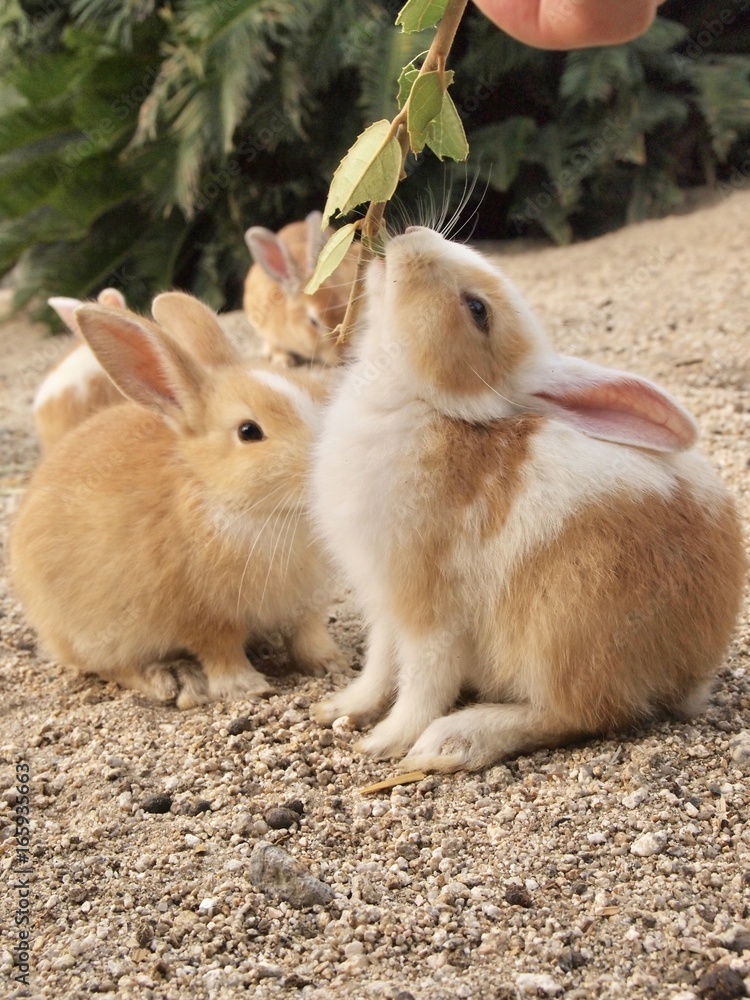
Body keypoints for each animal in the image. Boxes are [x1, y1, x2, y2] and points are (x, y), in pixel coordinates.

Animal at [310, 226, 746, 772]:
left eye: (478, 310)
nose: (410, 234)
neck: (425, 402)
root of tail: (696, 668)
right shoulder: (384, 606)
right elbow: (377, 668)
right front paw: (339, 710)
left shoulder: (430, 612)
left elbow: (423, 683)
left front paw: (385, 743)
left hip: (561, 630)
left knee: (579, 714)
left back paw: (453, 741)